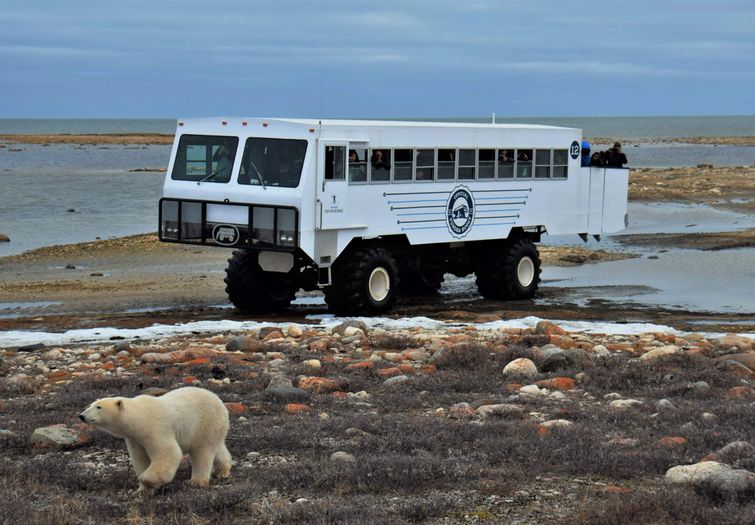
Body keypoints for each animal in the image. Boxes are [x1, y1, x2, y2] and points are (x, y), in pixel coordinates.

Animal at [80, 387, 232, 492]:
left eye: (98, 407)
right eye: (91, 405)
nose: (81, 416)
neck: (138, 417)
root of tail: (220, 402)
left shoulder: (154, 428)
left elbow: (168, 452)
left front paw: (145, 480)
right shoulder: (135, 439)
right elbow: (140, 459)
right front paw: (142, 490)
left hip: (204, 423)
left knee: (202, 452)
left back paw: (196, 481)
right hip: (215, 428)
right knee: (218, 448)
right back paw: (222, 471)